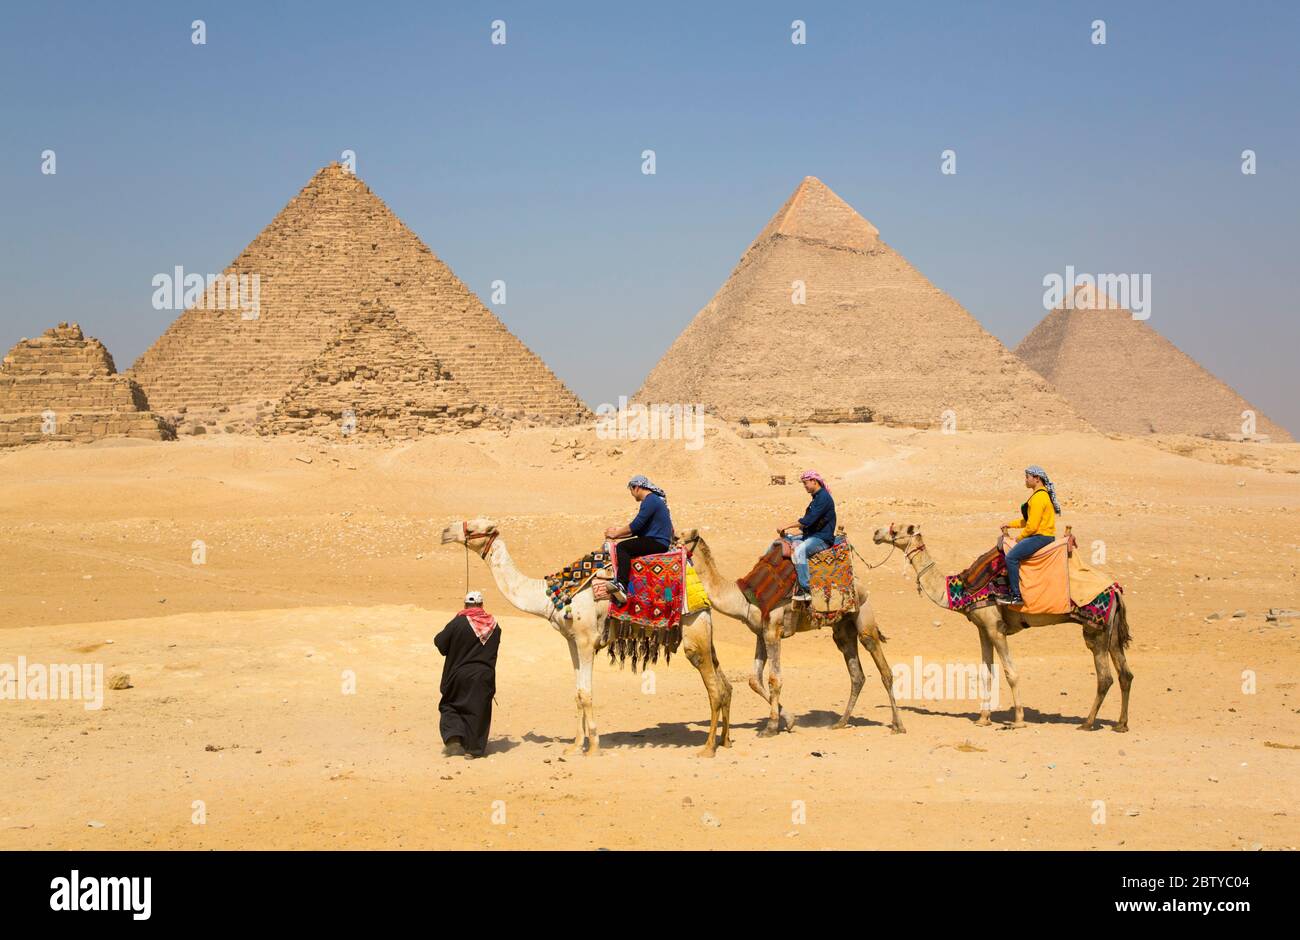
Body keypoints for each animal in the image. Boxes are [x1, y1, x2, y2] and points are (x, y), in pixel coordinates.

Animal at [440, 519, 732, 756]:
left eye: (475, 528)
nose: (445, 532)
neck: (551, 595)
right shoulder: (572, 641)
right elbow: (578, 693)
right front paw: (574, 746)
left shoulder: (586, 640)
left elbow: (588, 694)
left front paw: (593, 747)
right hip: (705, 631)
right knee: (724, 684)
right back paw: (725, 741)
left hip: (694, 630)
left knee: (714, 688)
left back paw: (707, 749)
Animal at [680, 529, 904, 736]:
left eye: (678, 538)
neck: (743, 599)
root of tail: (860, 583)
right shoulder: (761, 633)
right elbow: (754, 680)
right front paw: (789, 720)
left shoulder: (773, 630)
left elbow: (774, 679)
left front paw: (771, 727)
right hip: (842, 628)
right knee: (857, 675)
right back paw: (841, 722)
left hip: (863, 613)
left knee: (883, 667)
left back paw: (898, 725)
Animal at [872, 523, 1133, 732]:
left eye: (897, 529)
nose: (876, 532)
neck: (959, 591)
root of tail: (1116, 590)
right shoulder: (982, 628)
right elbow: (986, 673)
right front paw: (983, 718)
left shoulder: (995, 627)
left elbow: (1011, 673)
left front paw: (1018, 720)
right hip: (1110, 633)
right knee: (1125, 674)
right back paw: (1121, 724)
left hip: (1095, 631)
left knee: (1105, 677)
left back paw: (1087, 723)